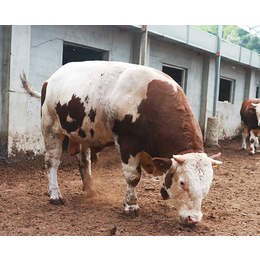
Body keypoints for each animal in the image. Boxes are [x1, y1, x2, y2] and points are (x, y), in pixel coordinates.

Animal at [19, 61, 221, 223]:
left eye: (208, 185)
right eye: (182, 183)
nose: (194, 219)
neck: (148, 102)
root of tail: (51, 78)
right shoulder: (128, 144)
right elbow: (133, 177)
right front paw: (131, 206)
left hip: (83, 134)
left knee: (84, 162)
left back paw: (91, 190)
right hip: (51, 127)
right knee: (52, 162)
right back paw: (55, 195)